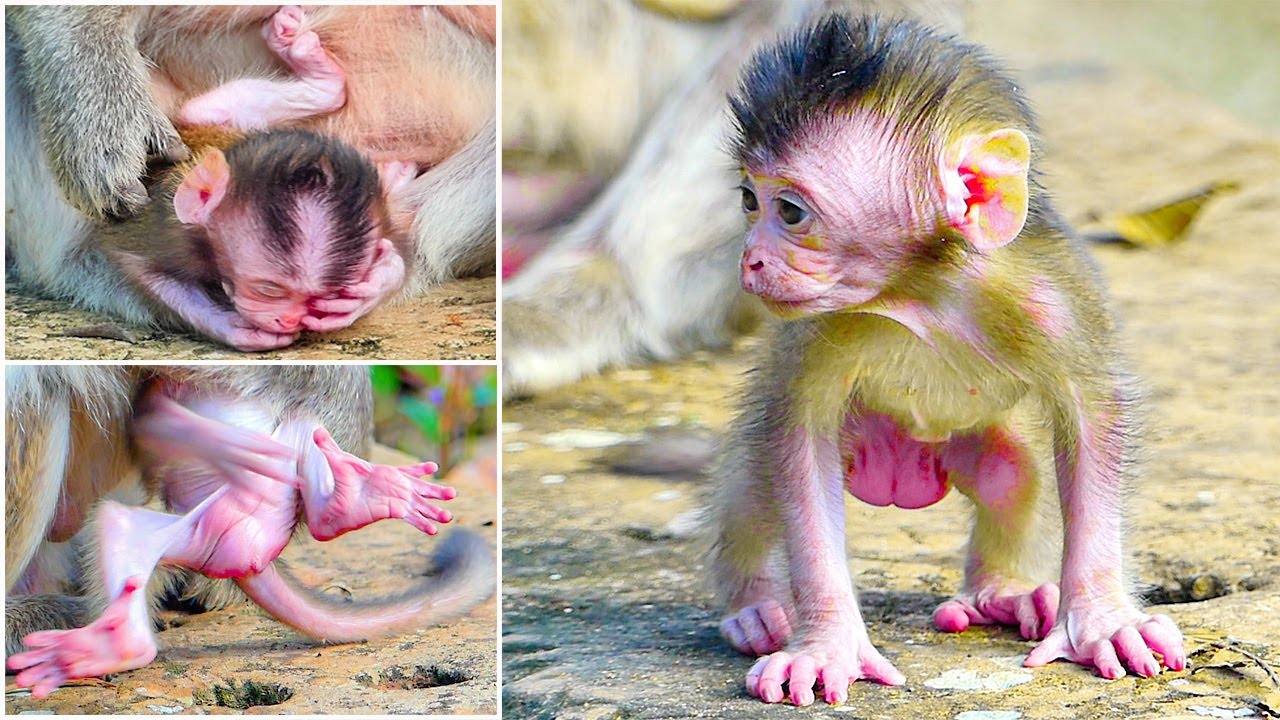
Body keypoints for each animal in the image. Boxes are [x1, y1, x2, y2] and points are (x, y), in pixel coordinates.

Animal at [705, 15, 1186, 707]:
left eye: (789, 211)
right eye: (748, 200)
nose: (751, 260)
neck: (924, 296)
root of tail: (901, 471)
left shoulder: (1058, 303)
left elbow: (1094, 421)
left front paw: (1102, 617)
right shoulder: (820, 330)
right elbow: (797, 442)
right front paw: (826, 642)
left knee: (1010, 473)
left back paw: (1000, 593)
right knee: (758, 479)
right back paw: (751, 607)